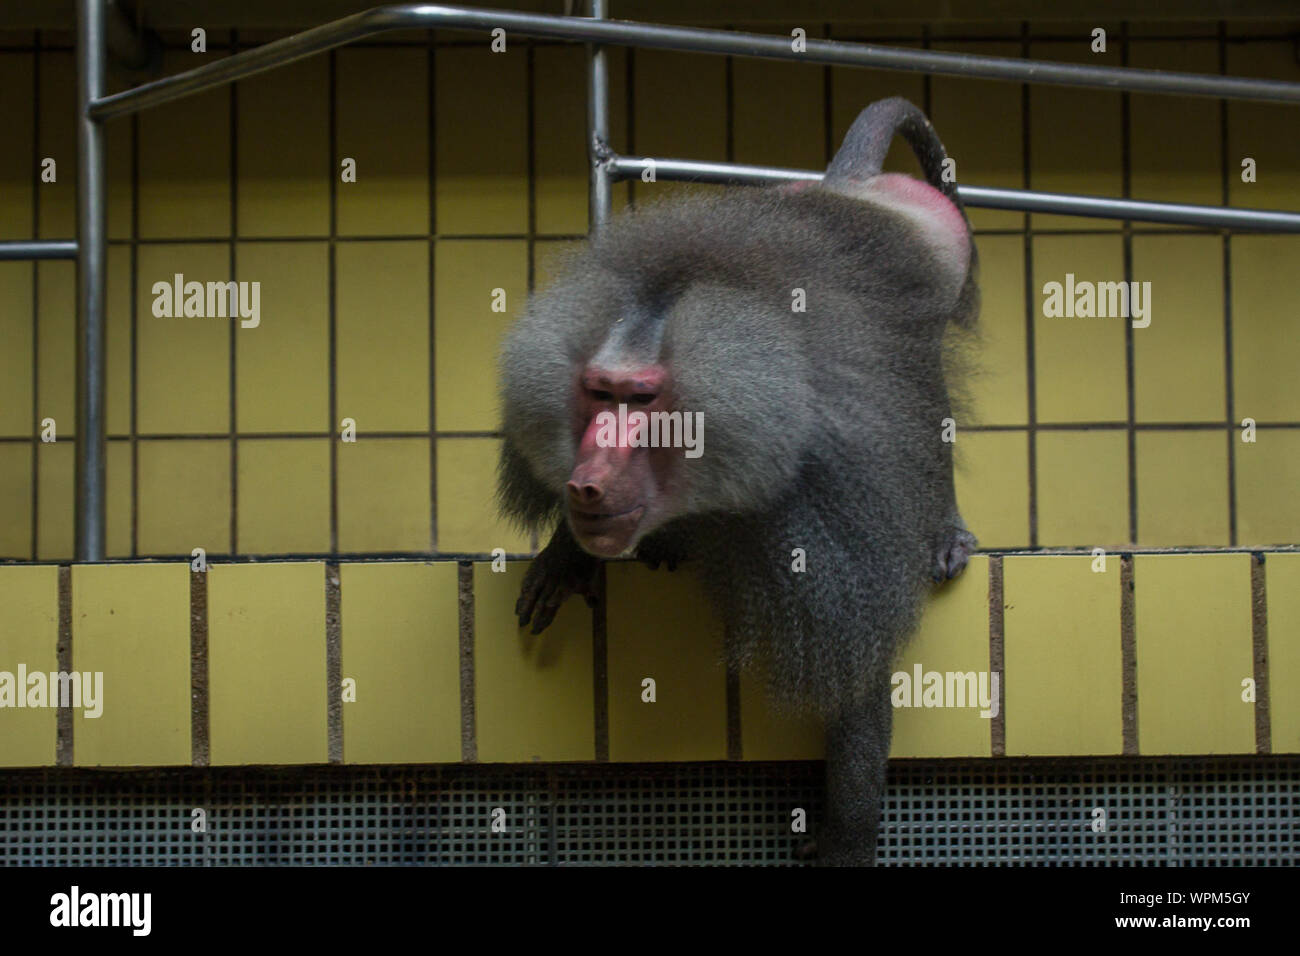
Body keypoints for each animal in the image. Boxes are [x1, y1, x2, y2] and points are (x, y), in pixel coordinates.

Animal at [496, 97, 979, 866]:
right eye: (599, 394)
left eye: (643, 400)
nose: (586, 484)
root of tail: (849, 190)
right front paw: (567, 554)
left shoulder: (828, 512)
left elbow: (855, 674)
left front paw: (846, 836)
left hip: (932, 271)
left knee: (919, 393)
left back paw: (943, 529)